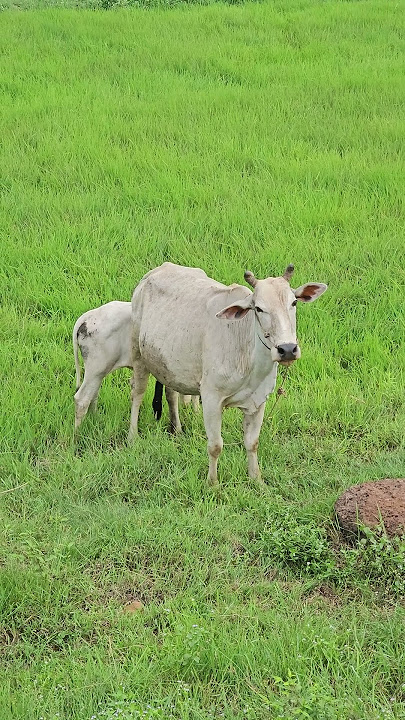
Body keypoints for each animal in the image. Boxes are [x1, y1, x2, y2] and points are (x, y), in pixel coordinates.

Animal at [73, 301, 198, 430]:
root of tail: (88, 316)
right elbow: (175, 396)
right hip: (96, 370)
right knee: (82, 399)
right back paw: (78, 432)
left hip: (98, 374)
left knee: (93, 395)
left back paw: (96, 420)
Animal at [128, 262, 327, 485]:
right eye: (258, 308)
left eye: (293, 302)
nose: (287, 349)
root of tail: (154, 272)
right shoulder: (211, 398)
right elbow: (215, 446)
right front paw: (213, 484)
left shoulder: (258, 401)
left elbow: (252, 443)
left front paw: (257, 480)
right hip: (138, 354)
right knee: (137, 394)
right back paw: (132, 437)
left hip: (170, 366)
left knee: (171, 394)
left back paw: (177, 430)